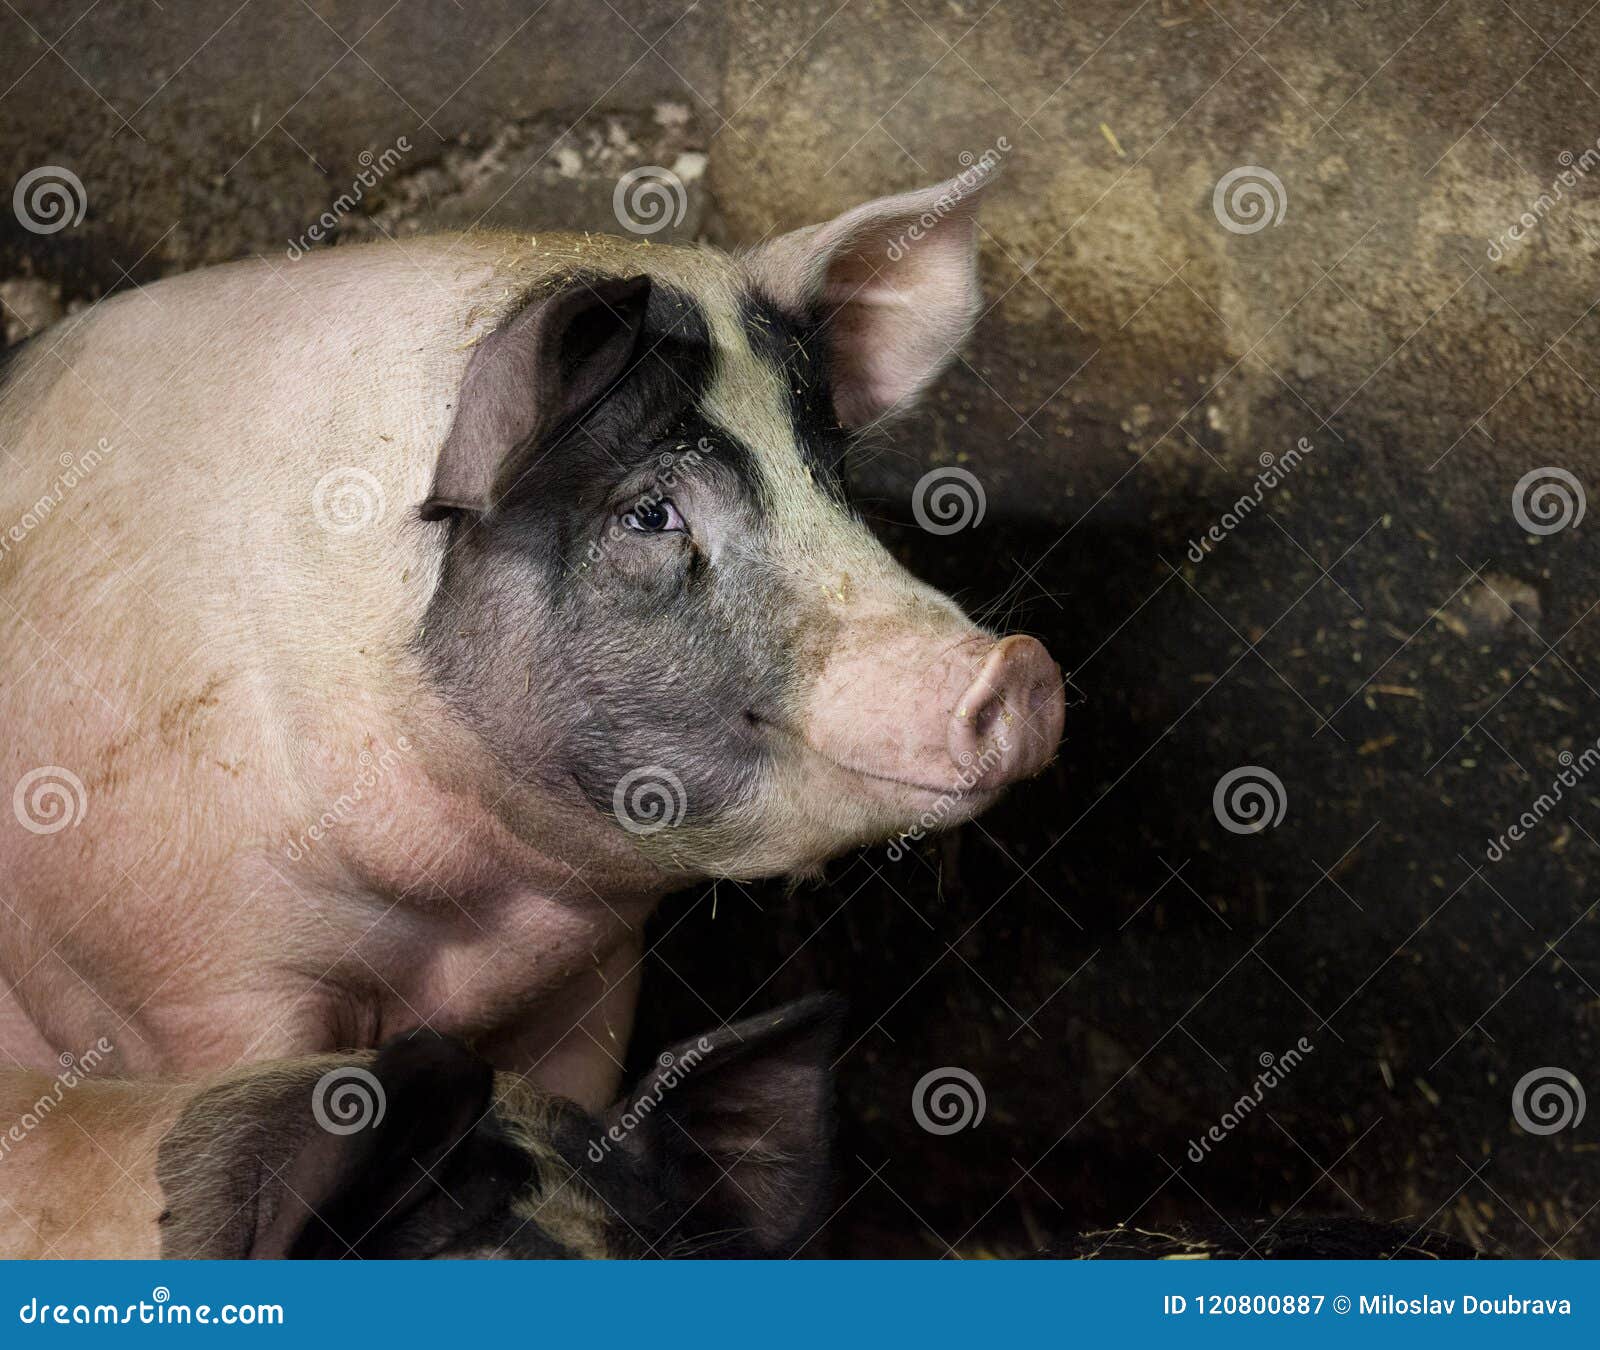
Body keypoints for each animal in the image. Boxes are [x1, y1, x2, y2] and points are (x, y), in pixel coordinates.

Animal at [0, 168, 1064, 1106]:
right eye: (649, 512)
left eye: (833, 478)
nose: (1022, 667)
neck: (471, 913)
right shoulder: (197, 984)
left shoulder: (592, 975)